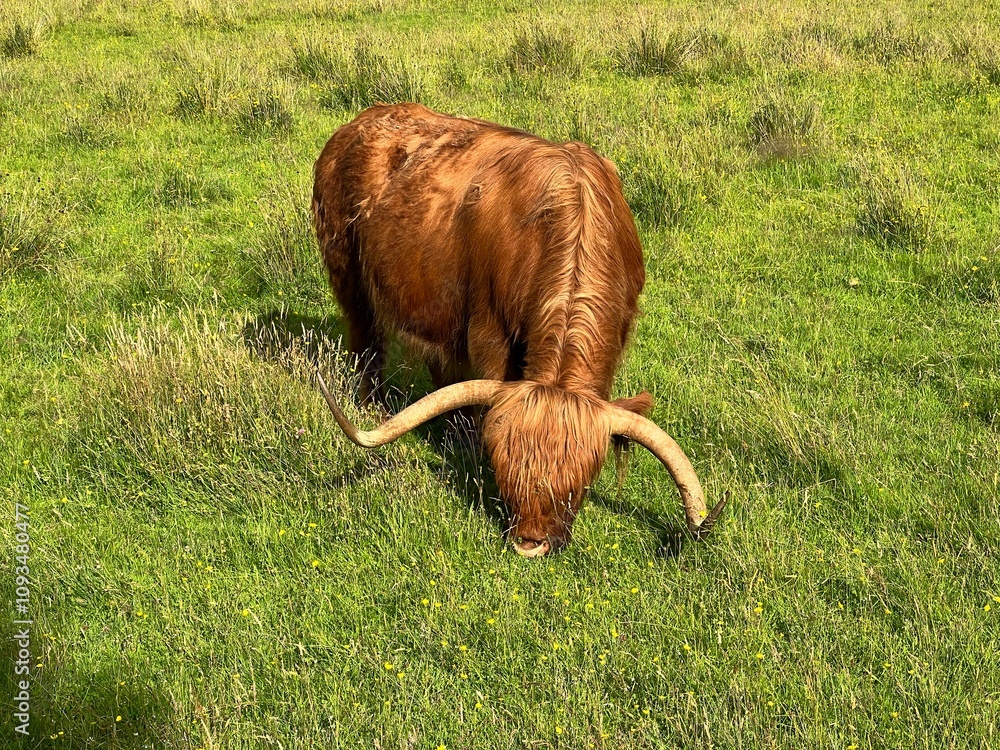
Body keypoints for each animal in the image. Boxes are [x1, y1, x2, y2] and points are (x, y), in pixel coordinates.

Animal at [312, 103, 725, 557]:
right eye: (505, 469)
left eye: (578, 487)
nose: (531, 543)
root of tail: (359, 122)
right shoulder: (488, 331)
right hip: (349, 274)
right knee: (366, 341)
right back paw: (375, 405)